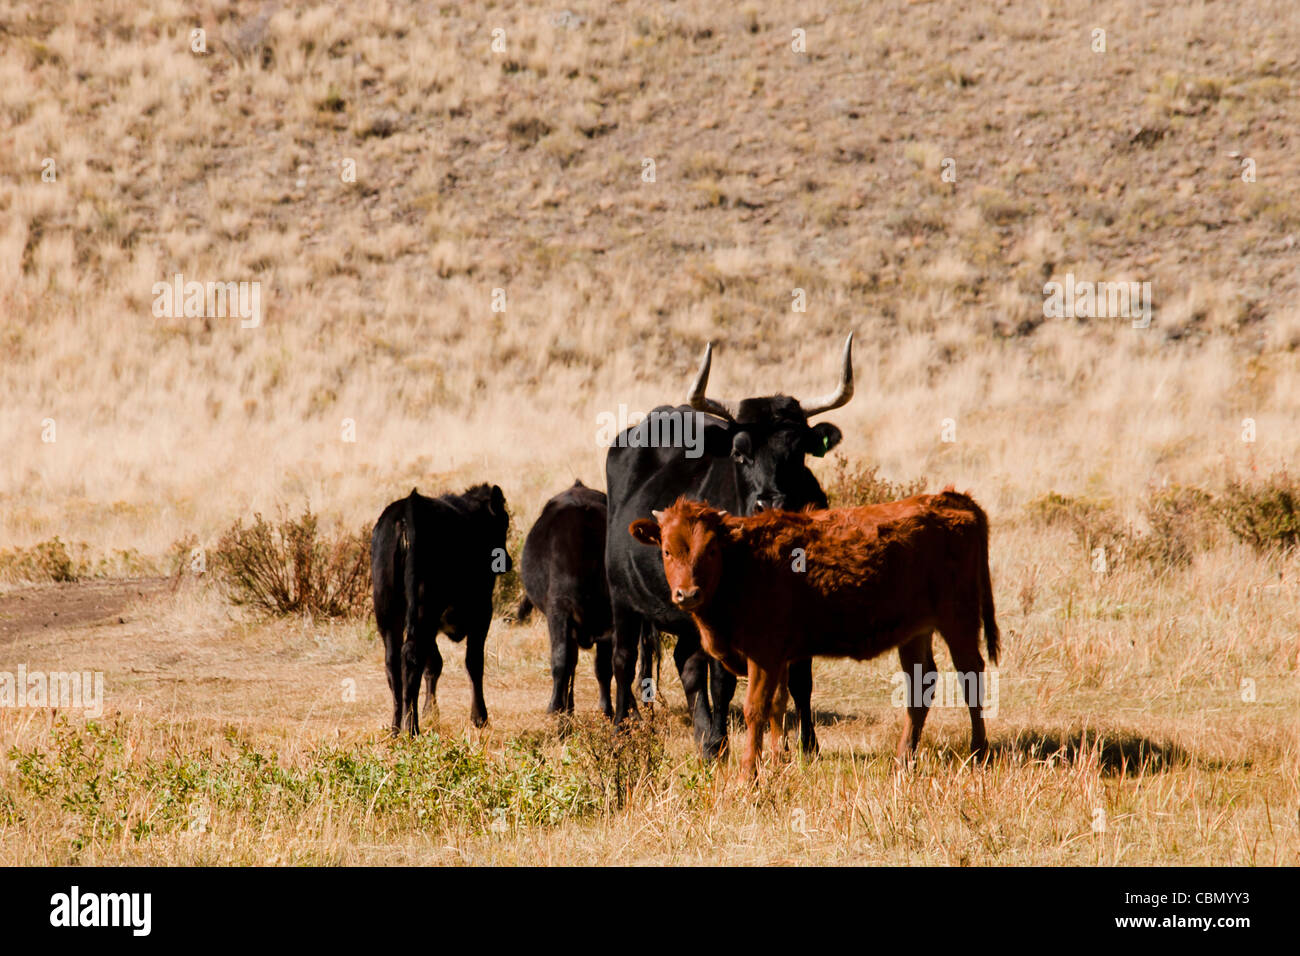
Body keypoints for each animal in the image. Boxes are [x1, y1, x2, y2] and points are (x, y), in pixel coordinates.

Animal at [371, 483, 511, 735]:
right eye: (504, 522)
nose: (508, 562)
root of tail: (409, 506)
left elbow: (434, 663)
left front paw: (431, 711)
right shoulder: (482, 610)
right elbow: (474, 661)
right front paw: (480, 717)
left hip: (388, 609)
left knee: (393, 660)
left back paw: (396, 728)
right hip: (424, 605)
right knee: (412, 655)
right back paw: (412, 728)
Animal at [516, 480, 616, 715]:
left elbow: (604, 667)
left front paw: (607, 709)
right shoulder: (558, 613)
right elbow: (561, 660)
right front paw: (555, 707)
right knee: (569, 661)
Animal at [605, 335, 854, 760]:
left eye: (798, 452)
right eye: (740, 452)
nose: (769, 502)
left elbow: (800, 677)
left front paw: (807, 745)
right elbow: (723, 680)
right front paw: (721, 741)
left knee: (686, 663)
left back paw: (702, 735)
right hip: (621, 596)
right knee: (624, 659)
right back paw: (627, 730)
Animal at [629, 490, 1000, 778]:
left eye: (710, 550)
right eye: (666, 550)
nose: (687, 594)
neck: (745, 564)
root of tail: (953, 499)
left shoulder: (764, 654)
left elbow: (755, 710)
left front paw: (749, 774)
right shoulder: (779, 656)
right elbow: (778, 705)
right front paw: (778, 761)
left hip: (959, 618)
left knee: (971, 675)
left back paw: (979, 753)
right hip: (914, 631)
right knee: (920, 688)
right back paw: (904, 760)